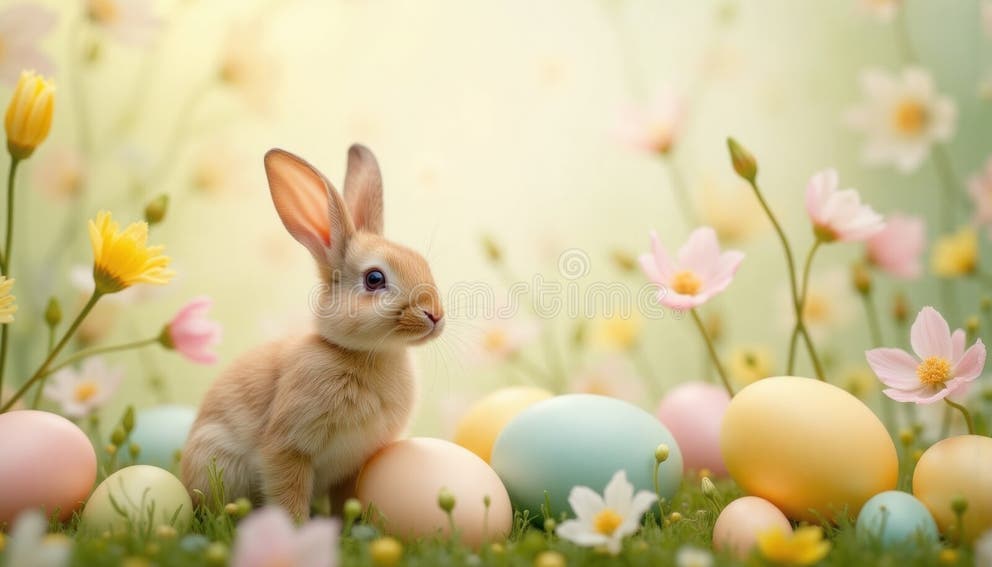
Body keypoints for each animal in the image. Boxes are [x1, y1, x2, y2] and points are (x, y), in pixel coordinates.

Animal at [181, 145, 445, 520]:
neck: (360, 353)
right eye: (374, 279)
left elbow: (346, 499)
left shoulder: (353, 464)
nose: (435, 314)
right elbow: (288, 495)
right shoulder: (288, 447)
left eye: (422, 263)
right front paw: (293, 528)